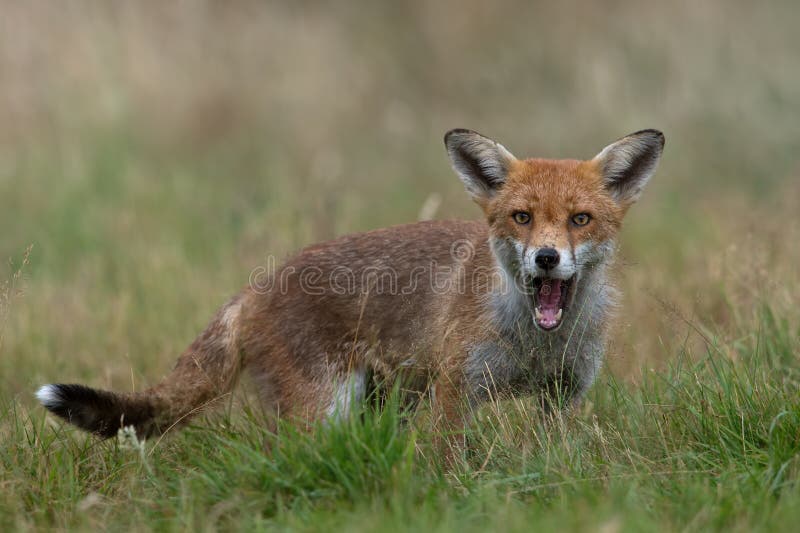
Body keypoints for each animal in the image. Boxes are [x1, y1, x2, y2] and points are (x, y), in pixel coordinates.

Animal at [36, 128, 664, 444]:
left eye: (580, 219)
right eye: (522, 218)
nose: (546, 258)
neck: (535, 343)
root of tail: (253, 288)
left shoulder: (564, 395)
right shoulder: (457, 390)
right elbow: (449, 465)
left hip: (380, 403)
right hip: (326, 411)